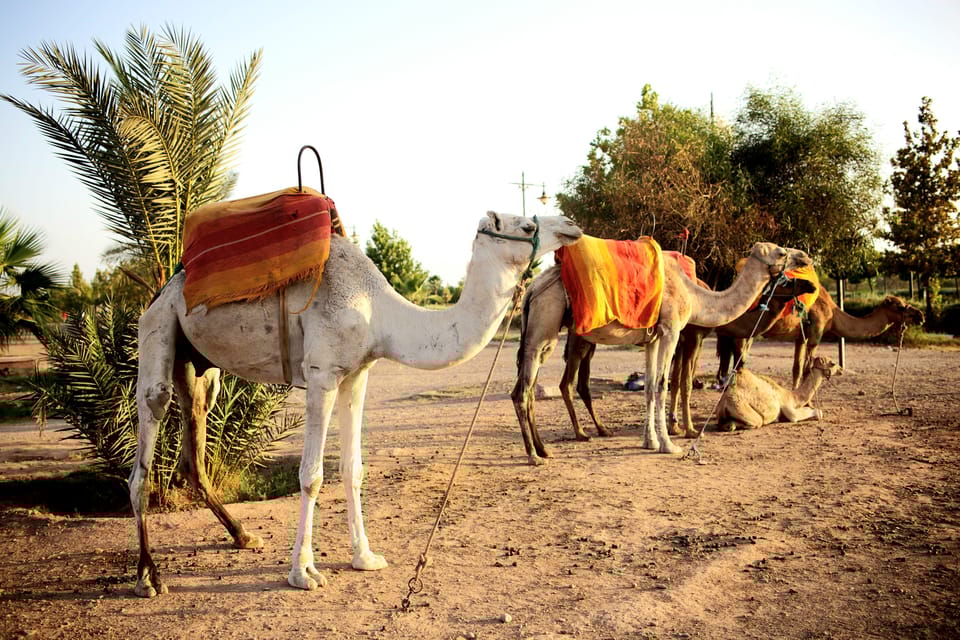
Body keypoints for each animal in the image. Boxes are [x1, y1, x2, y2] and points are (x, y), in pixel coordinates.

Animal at [130, 211, 582, 597]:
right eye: (526, 226)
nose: (572, 226)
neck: (381, 314)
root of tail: (162, 288)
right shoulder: (322, 373)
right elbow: (312, 475)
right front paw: (303, 573)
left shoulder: (357, 374)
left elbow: (353, 469)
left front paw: (365, 556)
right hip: (159, 326)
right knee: (147, 438)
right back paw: (148, 576)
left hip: (198, 364)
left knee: (196, 442)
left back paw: (243, 536)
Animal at [511, 242, 812, 465]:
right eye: (781, 252)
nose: (806, 256)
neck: (696, 296)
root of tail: (531, 290)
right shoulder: (671, 330)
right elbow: (663, 384)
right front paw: (669, 444)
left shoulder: (652, 338)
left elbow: (649, 387)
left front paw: (650, 441)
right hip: (546, 322)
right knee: (523, 391)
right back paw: (534, 456)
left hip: (543, 332)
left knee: (528, 387)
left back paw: (545, 449)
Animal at [716, 289, 925, 389]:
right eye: (900, 306)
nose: (921, 316)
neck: (833, 313)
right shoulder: (816, 333)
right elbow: (808, 369)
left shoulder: (801, 337)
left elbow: (797, 369)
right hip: (744, 331)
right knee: (739, 360)